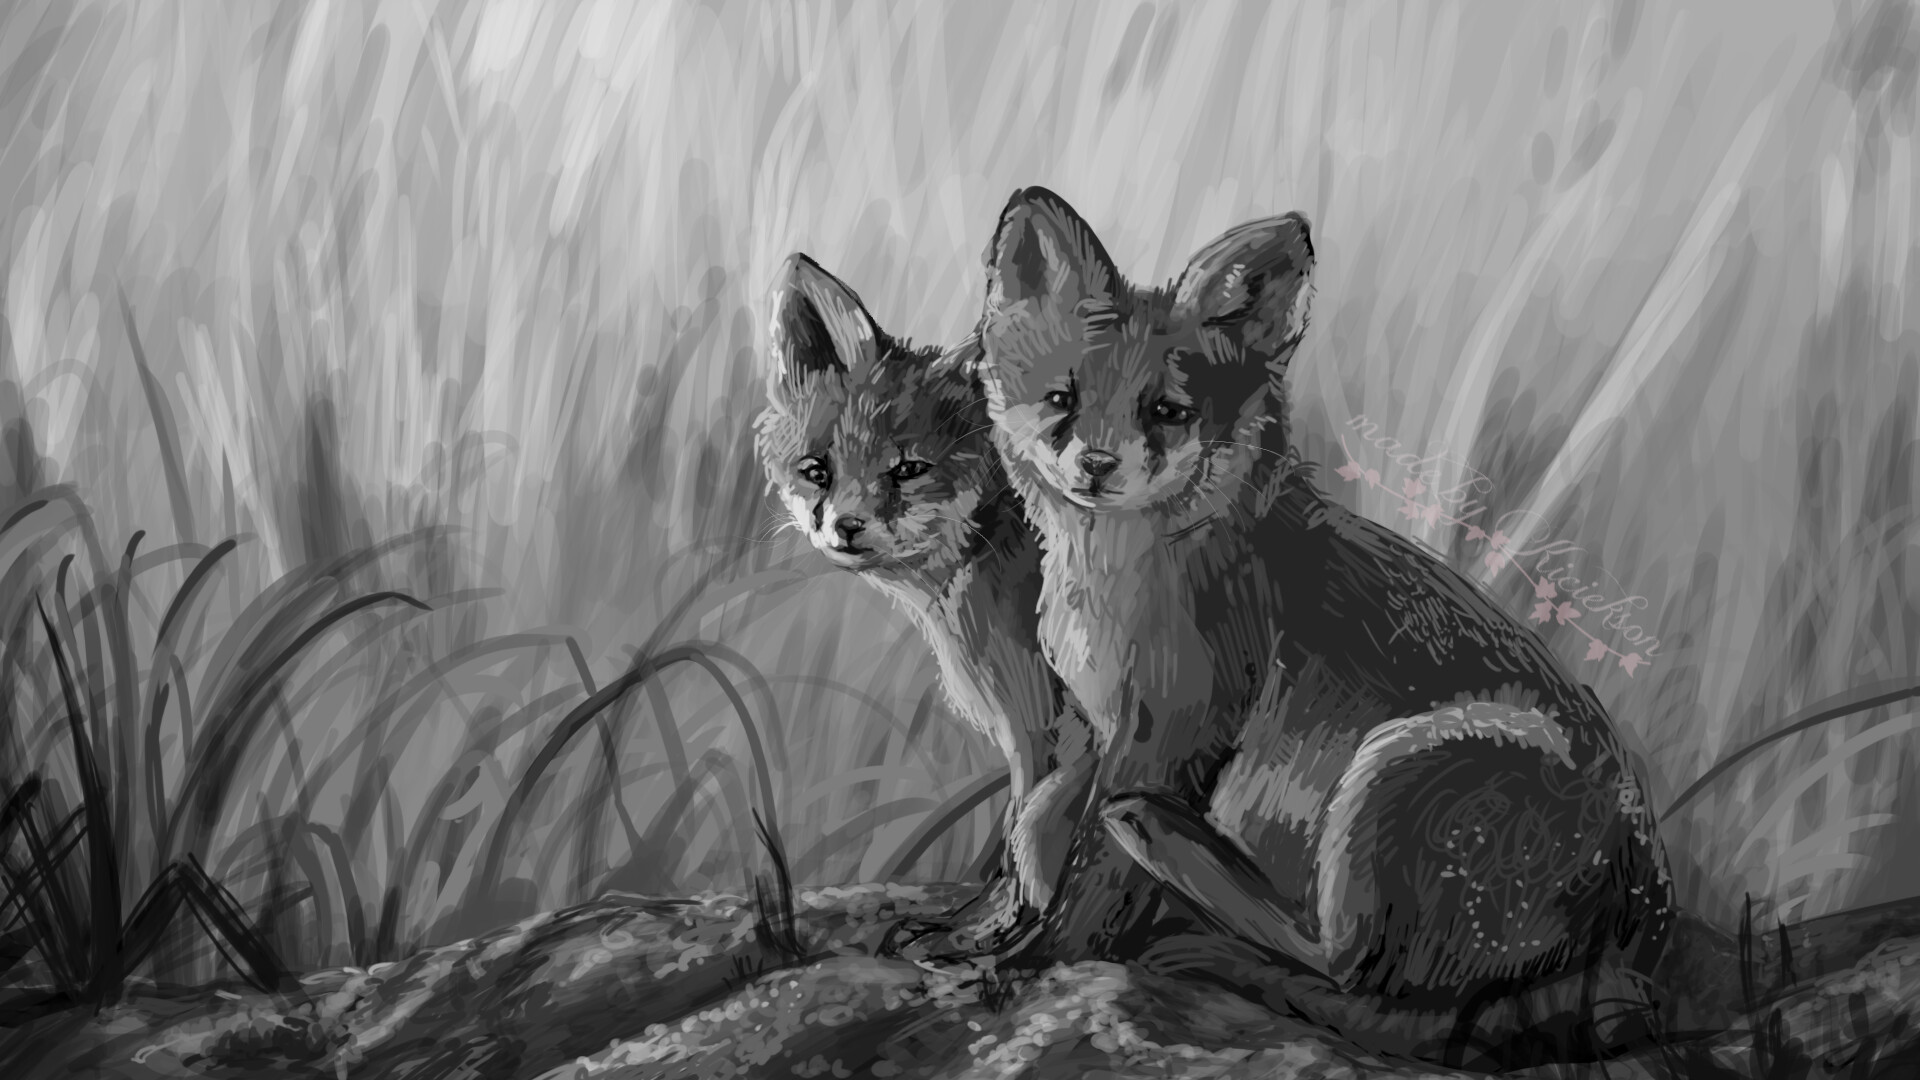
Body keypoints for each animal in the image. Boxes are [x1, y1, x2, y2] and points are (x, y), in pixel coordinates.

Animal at [754, 253, 1098, 955]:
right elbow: (1012, 833)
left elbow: (1021, 831)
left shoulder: (1042, 714)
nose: (845, 527)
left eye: (909, 469)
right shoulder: (1026, 719)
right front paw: (985, 920)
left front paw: (990, 925)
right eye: (817, 470)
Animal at [968, 188, 1674, 1057]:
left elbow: (1093, 871)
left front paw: (1036, 958)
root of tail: (1643, 911)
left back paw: (1189, 898)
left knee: (1360, 981)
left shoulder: (1174, 726)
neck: (1111, 591)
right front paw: (994, 920)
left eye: (1167, 411)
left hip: (1396, 777)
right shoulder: (1102, 726)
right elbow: (1043, 814)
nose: (1097, 465)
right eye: (1061, 400)